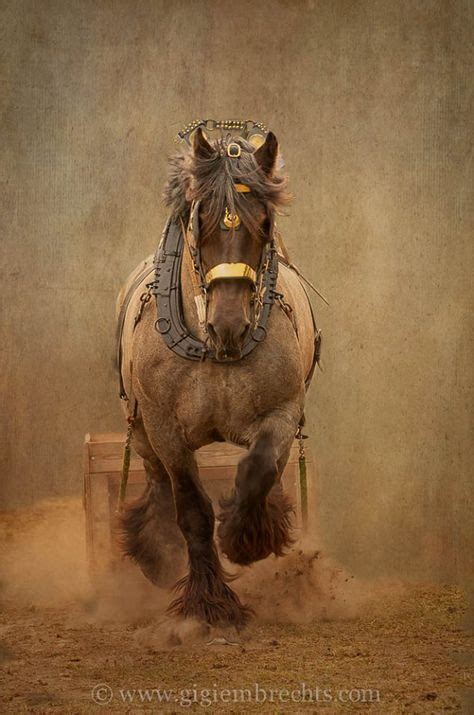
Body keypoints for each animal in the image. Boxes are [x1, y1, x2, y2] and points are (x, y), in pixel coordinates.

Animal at [116, 127, 319, 627]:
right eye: (201, 217)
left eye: (264, 221)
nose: (230, 324)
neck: (216, 350)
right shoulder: (165, 429)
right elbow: (191, 510)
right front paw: (209, 605)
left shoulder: (282, 412)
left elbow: (260, 468)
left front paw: (246, 539)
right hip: (141, 429)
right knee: (156, 480)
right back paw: (156, 550)